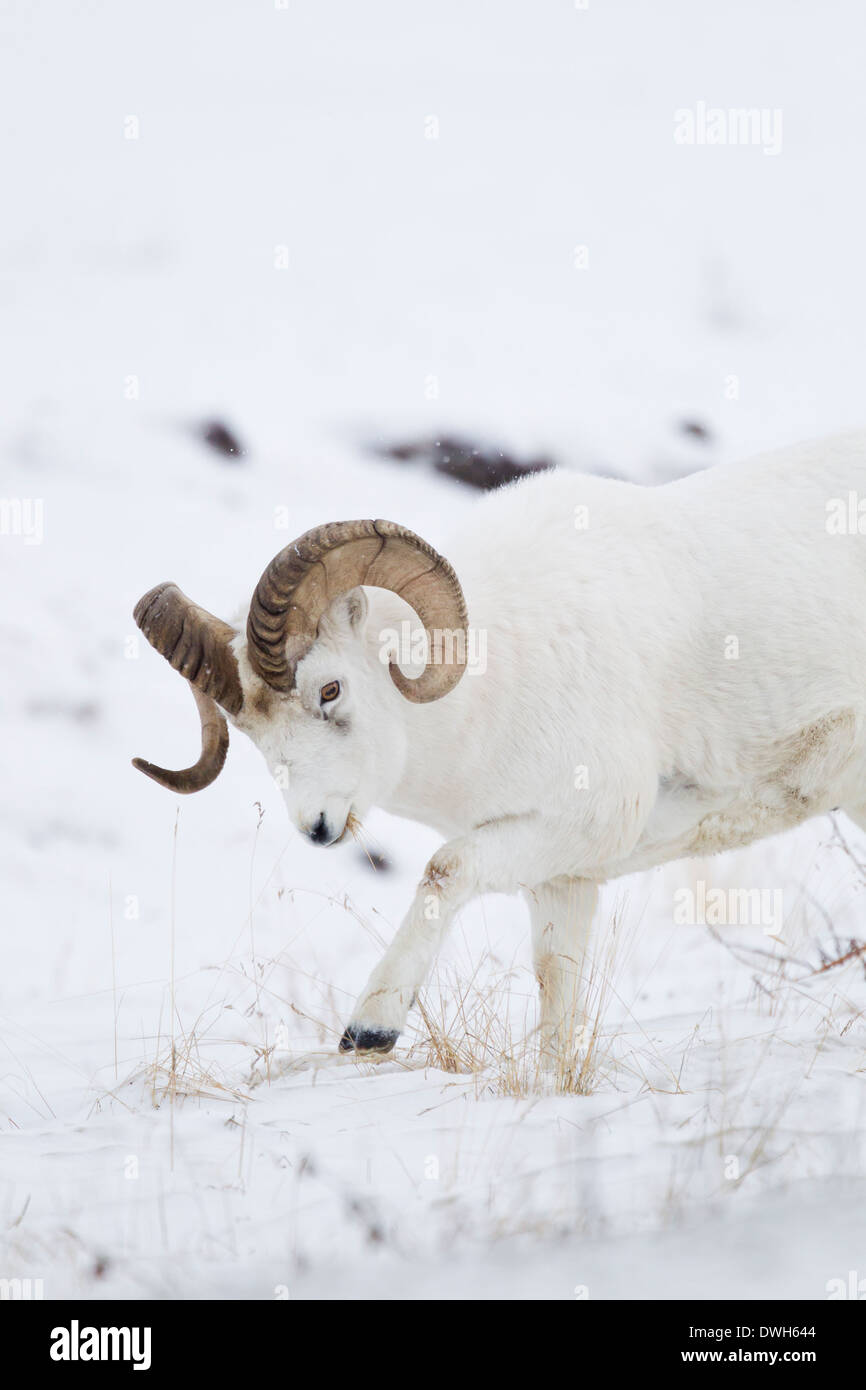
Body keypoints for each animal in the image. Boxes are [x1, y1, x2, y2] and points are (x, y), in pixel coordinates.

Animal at [132, 430, 866, 1058]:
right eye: (252, 732)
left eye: (330, 689)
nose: (316, 827)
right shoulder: (561, 877)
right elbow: (555, 994)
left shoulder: (576, 826)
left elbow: (444, 870)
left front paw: (370, 1030)